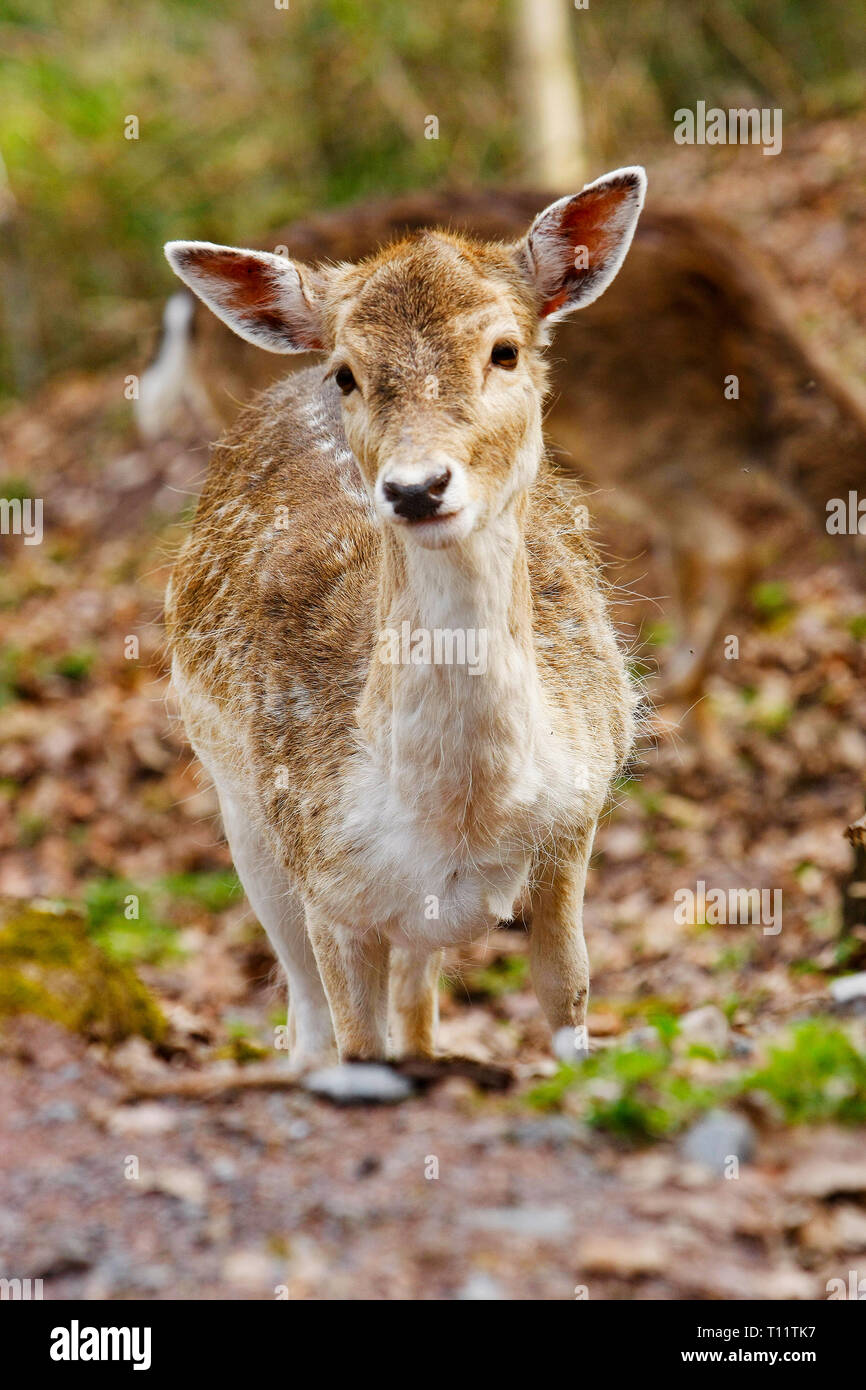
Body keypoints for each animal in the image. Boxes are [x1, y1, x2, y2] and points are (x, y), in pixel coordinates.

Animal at [162, 168, 646, 1068]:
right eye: (348, 373)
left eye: (505, 349)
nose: (417, 487)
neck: (460, 822)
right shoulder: (323, 875)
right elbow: (354, 1039)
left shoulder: (576, 822)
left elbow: (567, 994)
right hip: (242, 816)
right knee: (306, 1019)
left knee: (418, 1000)